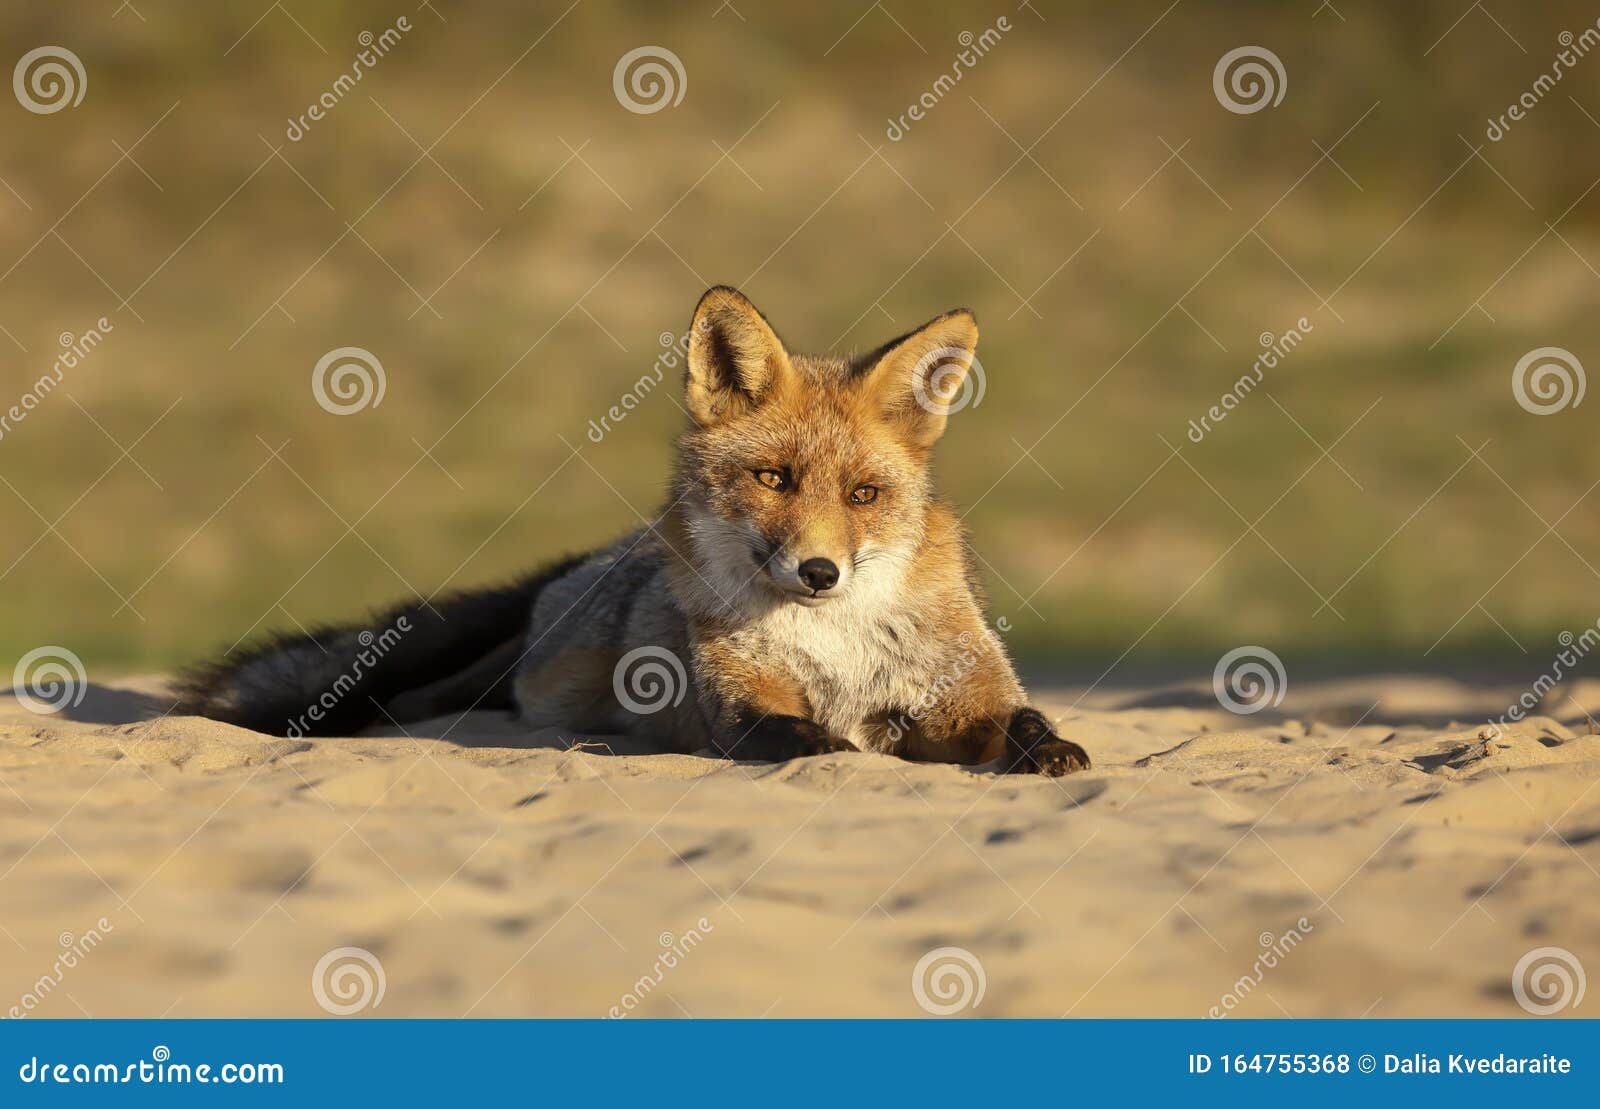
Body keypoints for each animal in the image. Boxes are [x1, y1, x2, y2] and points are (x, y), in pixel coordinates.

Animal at [177, 286, 1090, 776]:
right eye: (774, 479)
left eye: (864, 493)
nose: (820, 572)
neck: (837, 641)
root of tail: (608, 553)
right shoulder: (738, 705)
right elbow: (800, 733)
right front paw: (837, 746)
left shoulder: (964, 693)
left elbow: (1025, 718)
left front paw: (1052, 748)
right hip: (527, 672)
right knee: (422, 694)